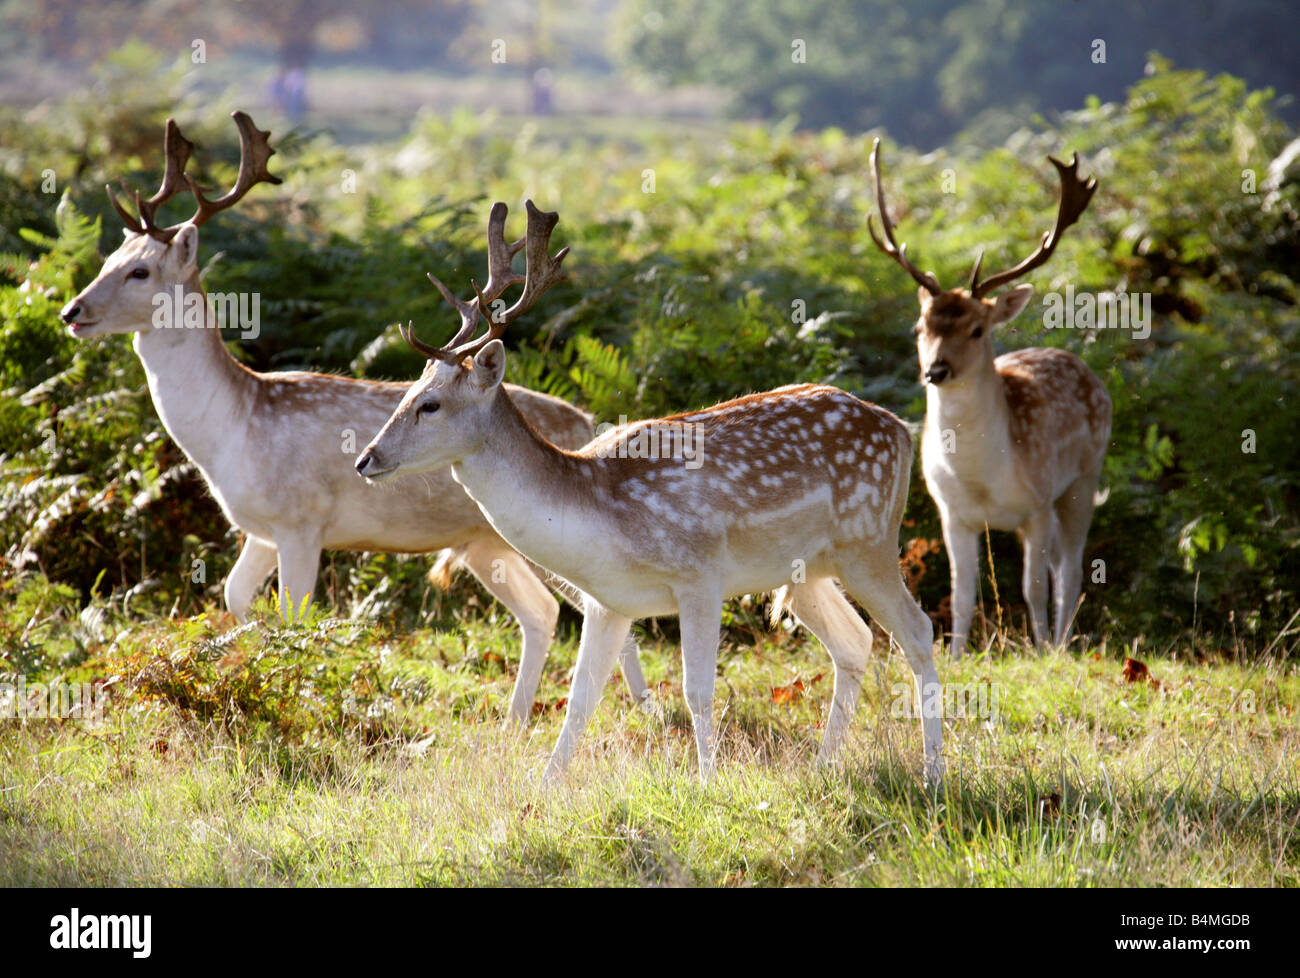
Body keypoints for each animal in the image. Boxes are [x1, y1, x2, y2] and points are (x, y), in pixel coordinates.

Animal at [56, 111, 648, 722]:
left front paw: (295, 689)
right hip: (486, 543)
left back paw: (646, 712)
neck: (233, 430)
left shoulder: (302, 519)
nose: (72, 311)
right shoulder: (260, 529)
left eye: (141, 272)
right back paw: (517, 722)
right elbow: (235, 596)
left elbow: (293, 616)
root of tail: (587, 425)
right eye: (108, 260)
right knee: (543, 612)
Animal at [355, 199, 945, 787]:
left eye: (430, 404)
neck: (599, 521)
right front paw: (542, 791)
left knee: (918, 631)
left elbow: (696, 690)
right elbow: (580, 701)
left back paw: (933, 774)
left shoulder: (700, 575)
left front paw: (708, 785)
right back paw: (824, 767)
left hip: (868, 539)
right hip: (807, 570)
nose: (366, 460)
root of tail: (900, 429)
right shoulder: (608, 603)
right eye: (406, 391)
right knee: (855, 641)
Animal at [866, 139, 1112, 657]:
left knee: (1070, 569)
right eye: (920, 327)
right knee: (1060, 566)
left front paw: (1041, 651)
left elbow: (1031, 588)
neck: (981, 479)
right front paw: (956, 654)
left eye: (978, 329)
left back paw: (1061, 642)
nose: (936, 370)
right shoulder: (951, 513)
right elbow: (962, 592)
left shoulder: (1036, 504)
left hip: (1083, 477)